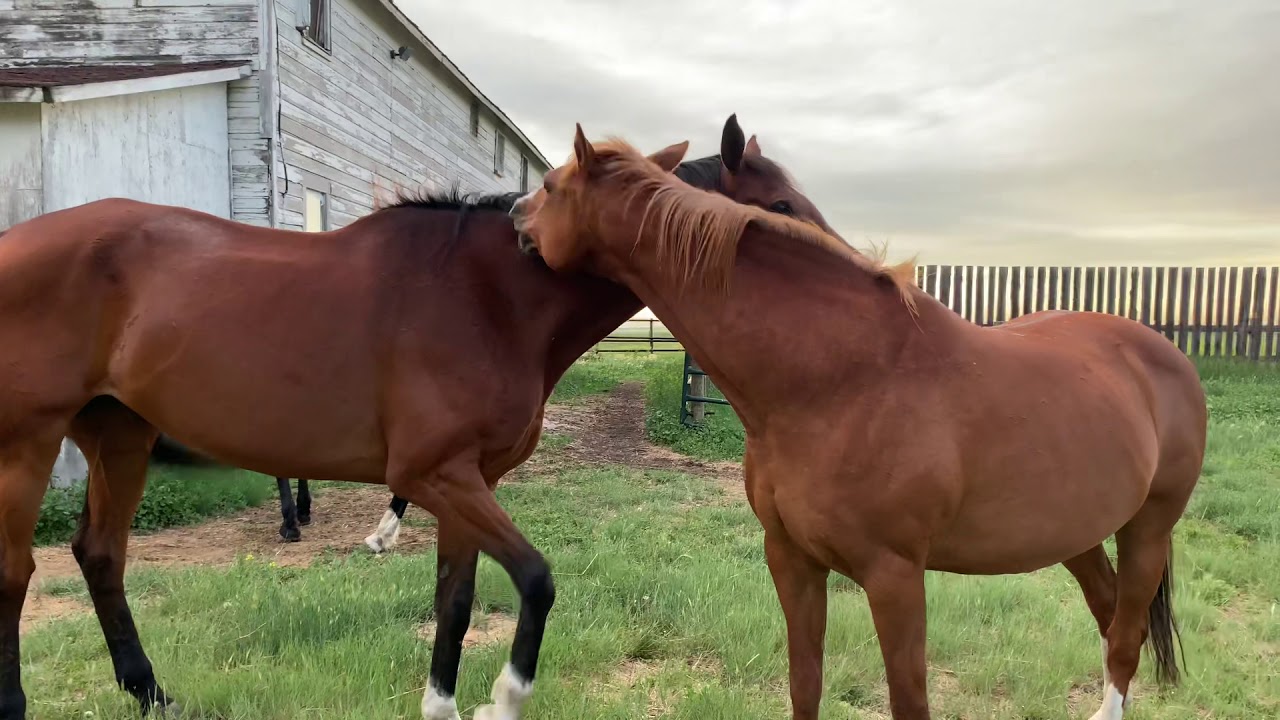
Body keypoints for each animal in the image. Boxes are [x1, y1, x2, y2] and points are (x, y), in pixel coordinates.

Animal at [1, 115, 835, 720]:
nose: (847, 275)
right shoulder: (434, 474)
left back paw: (150, 693)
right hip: (27, 445)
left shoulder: (466, 482)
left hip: (120, 433)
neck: (494, 297)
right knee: (18, 573)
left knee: (101, 556)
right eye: (781, 208)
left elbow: (456, 604)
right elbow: (535, 580)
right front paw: (505, 698)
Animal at [509, 127, 1208, 720]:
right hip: (1077, 532)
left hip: (1149, 528)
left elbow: (908, 700)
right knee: (1109, 616)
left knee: (1126, 636)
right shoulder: (791, 559)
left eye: (553, 187)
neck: (840, 379)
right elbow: (805, 683)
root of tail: (1164, 353)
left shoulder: (894, 577)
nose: (515, 214)